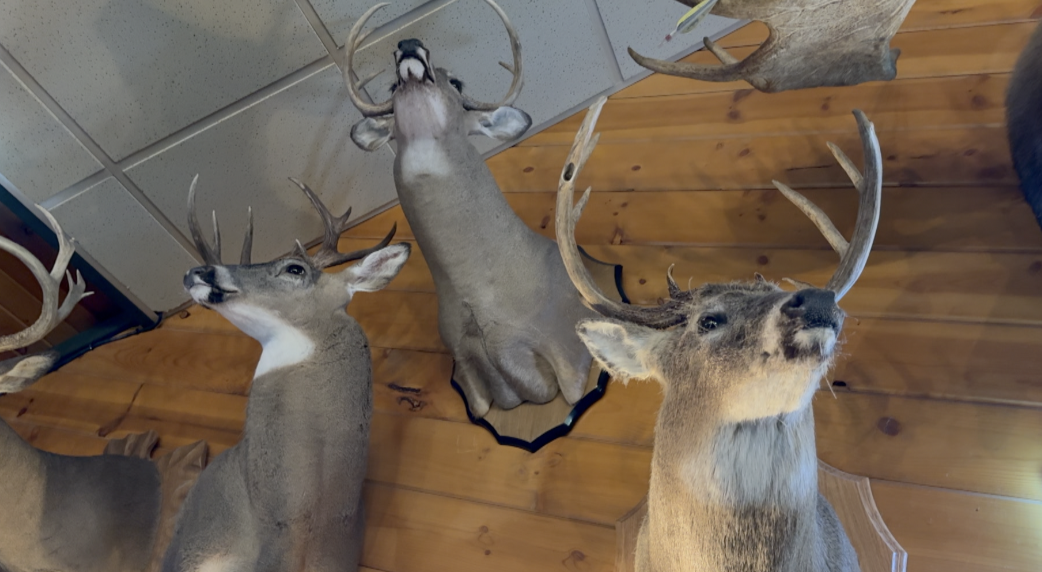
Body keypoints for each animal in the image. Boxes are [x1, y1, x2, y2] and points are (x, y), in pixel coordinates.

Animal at [345, 0, 598, 418]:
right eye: (391, 87)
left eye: (458, 83)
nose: (409, 43)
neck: (481, 312)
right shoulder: (467, 370)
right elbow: (483, 405)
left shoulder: (568, 342)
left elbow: (573, 393)